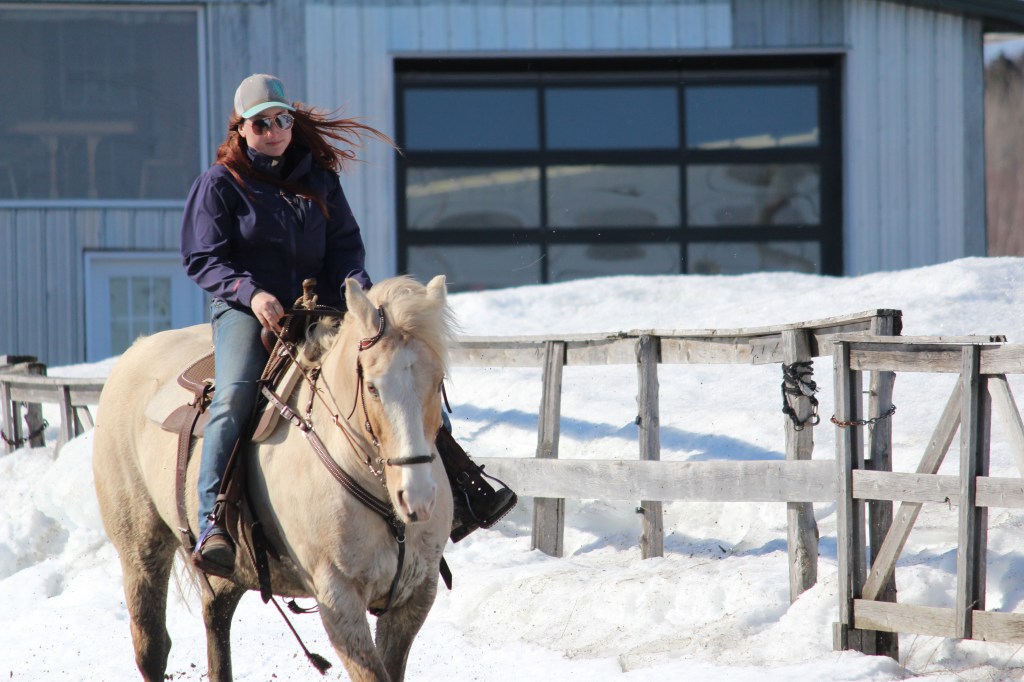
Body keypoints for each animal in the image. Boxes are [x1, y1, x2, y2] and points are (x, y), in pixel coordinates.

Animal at [93, 275, 456, 682]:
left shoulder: (416, 596)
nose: (417, 496)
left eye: (437, 381)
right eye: (373, 387)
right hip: (140, 548)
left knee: (216, 617)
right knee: (152, 646)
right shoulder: (339, 599)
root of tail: (136, 351)